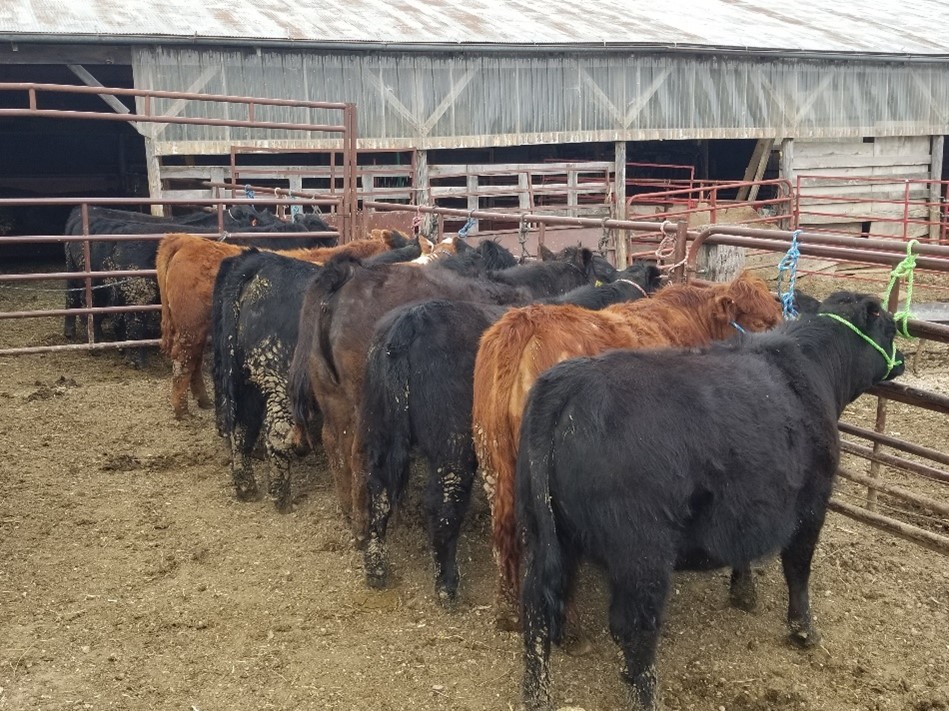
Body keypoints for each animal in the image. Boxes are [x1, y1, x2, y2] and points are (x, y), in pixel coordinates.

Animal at [360, 262, 662, 604]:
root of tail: (412, 318)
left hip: (379, 429)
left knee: (378, 490)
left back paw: (376, 568)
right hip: (452, 443)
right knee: (442, 503)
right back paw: (447, 585)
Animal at [516, 292, 905, 711]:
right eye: (888, 325)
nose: (902, 359)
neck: (812, 366)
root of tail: (569, 381)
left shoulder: (748, 503)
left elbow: (745, 548)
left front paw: (744, 594)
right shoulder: (813, 502)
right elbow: (798, 568)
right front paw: (804, 631)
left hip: (545, 535)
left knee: (536, 611)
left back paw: (536, 696)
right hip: (641, 553)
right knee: (633, 628)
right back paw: (647, 698)